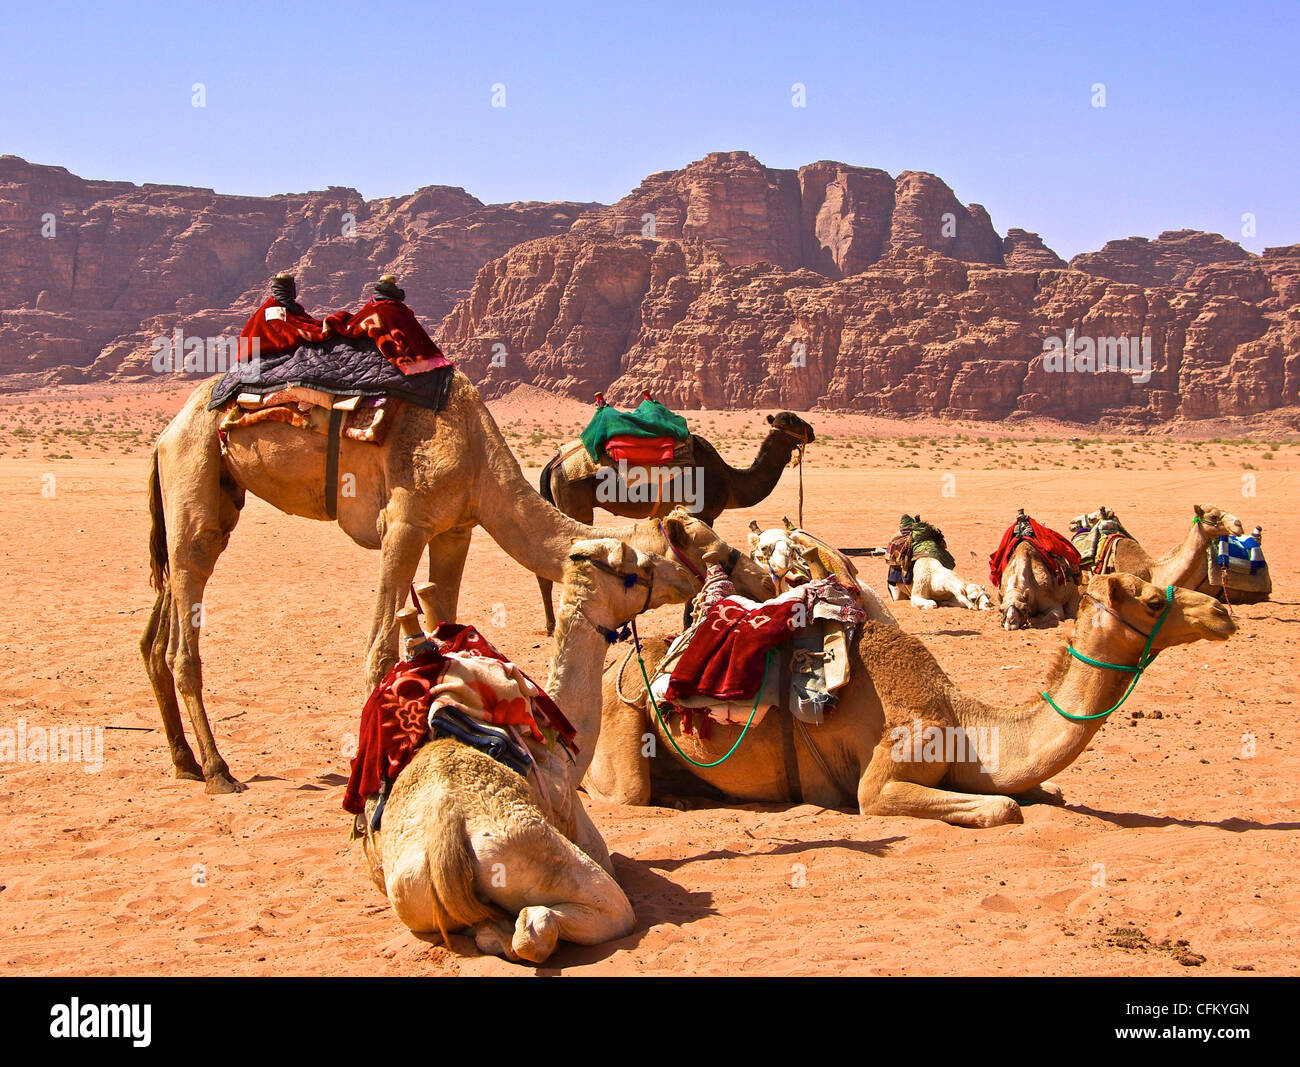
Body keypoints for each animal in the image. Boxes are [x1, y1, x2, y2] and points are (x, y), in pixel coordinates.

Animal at [141, 368, 774, 793]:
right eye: (703, 547)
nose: (760, 580)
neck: (477, 456)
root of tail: (165, 432)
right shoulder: (404, 523)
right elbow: (379, 650)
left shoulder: (456, 529)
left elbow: (445, 623)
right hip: (196, 473)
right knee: (182, 628)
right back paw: (218, 770)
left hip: (213, 494)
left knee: (160, 621)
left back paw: (182, 760)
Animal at [360, 538, 695, 963]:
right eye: (643, 566)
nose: (685, 576)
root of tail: (444, 837)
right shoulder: (582, 825)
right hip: (546, 863)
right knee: (546, 926)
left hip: (409, 891)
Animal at [535, 411, 815, 633]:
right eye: (794, 420)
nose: (812, 431)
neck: (730, 480)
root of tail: (554, 463)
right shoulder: (702, 513)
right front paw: (689, 621)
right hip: (575, 504)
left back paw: (551, 624)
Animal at [586, 573, 1235, 825]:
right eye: (1152, 598)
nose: (1222, 611)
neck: (967, 724)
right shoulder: (886, 776)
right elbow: (1005, 807)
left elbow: (1041, 793)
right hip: (621, 714)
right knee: (618, 790)